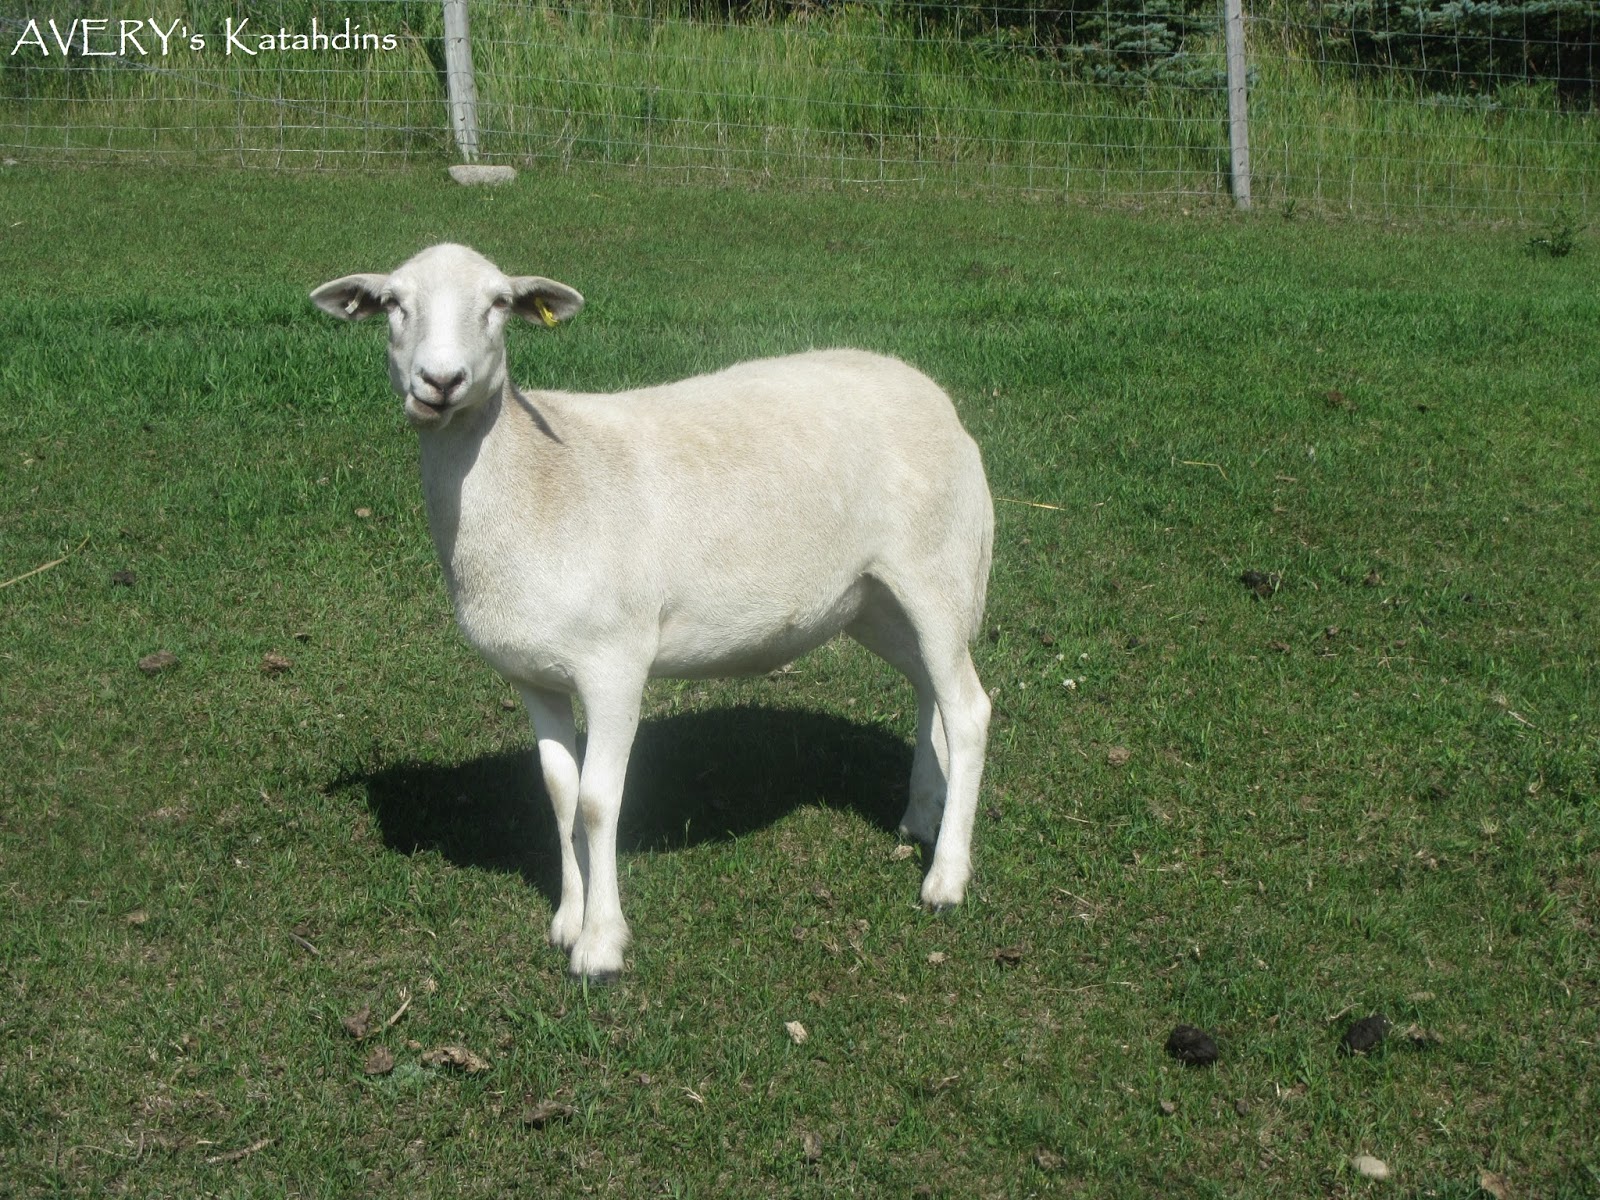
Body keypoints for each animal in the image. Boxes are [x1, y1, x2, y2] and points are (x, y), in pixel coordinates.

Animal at [312, 243, 993, 980]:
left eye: (497, 303)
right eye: (393, 303)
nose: (440, 381)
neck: (536, 480)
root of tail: (936, 397)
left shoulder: (614, 662)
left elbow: (596, 800)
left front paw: (601, 946)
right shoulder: (534, 675)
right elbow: (559, 792)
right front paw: (567, 919)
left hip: (936, 569)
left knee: (968, 710)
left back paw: (947, 878)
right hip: (870, 597)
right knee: (929, 689)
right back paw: (921, 817)